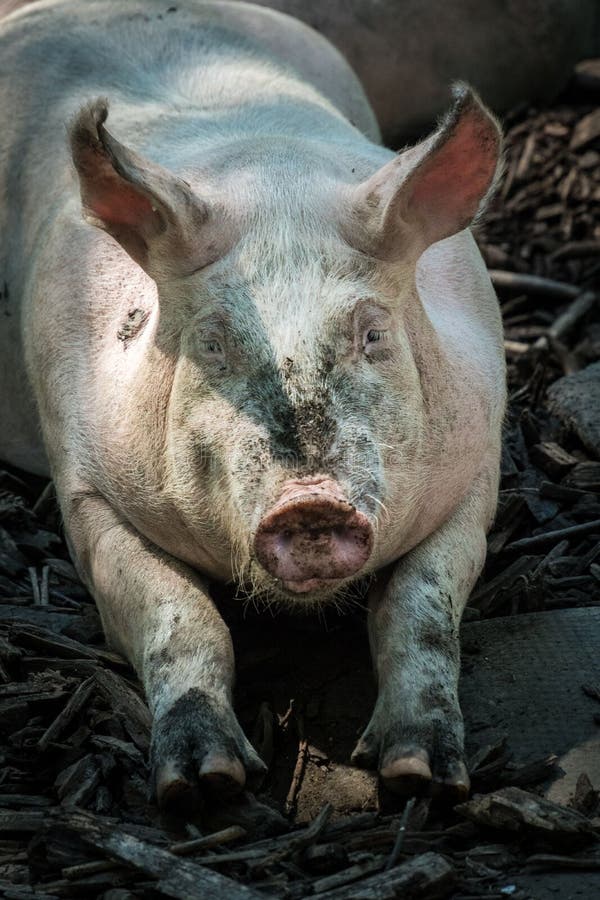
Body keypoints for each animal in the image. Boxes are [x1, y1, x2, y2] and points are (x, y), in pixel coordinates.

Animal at [0, 0, 505, 809]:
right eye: (213, 343)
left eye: (372, 333)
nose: (311, 502)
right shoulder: (83, 486)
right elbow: (182, 616)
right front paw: (202, 785)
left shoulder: (479, 471)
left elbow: (421, 608)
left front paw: (420, 776)